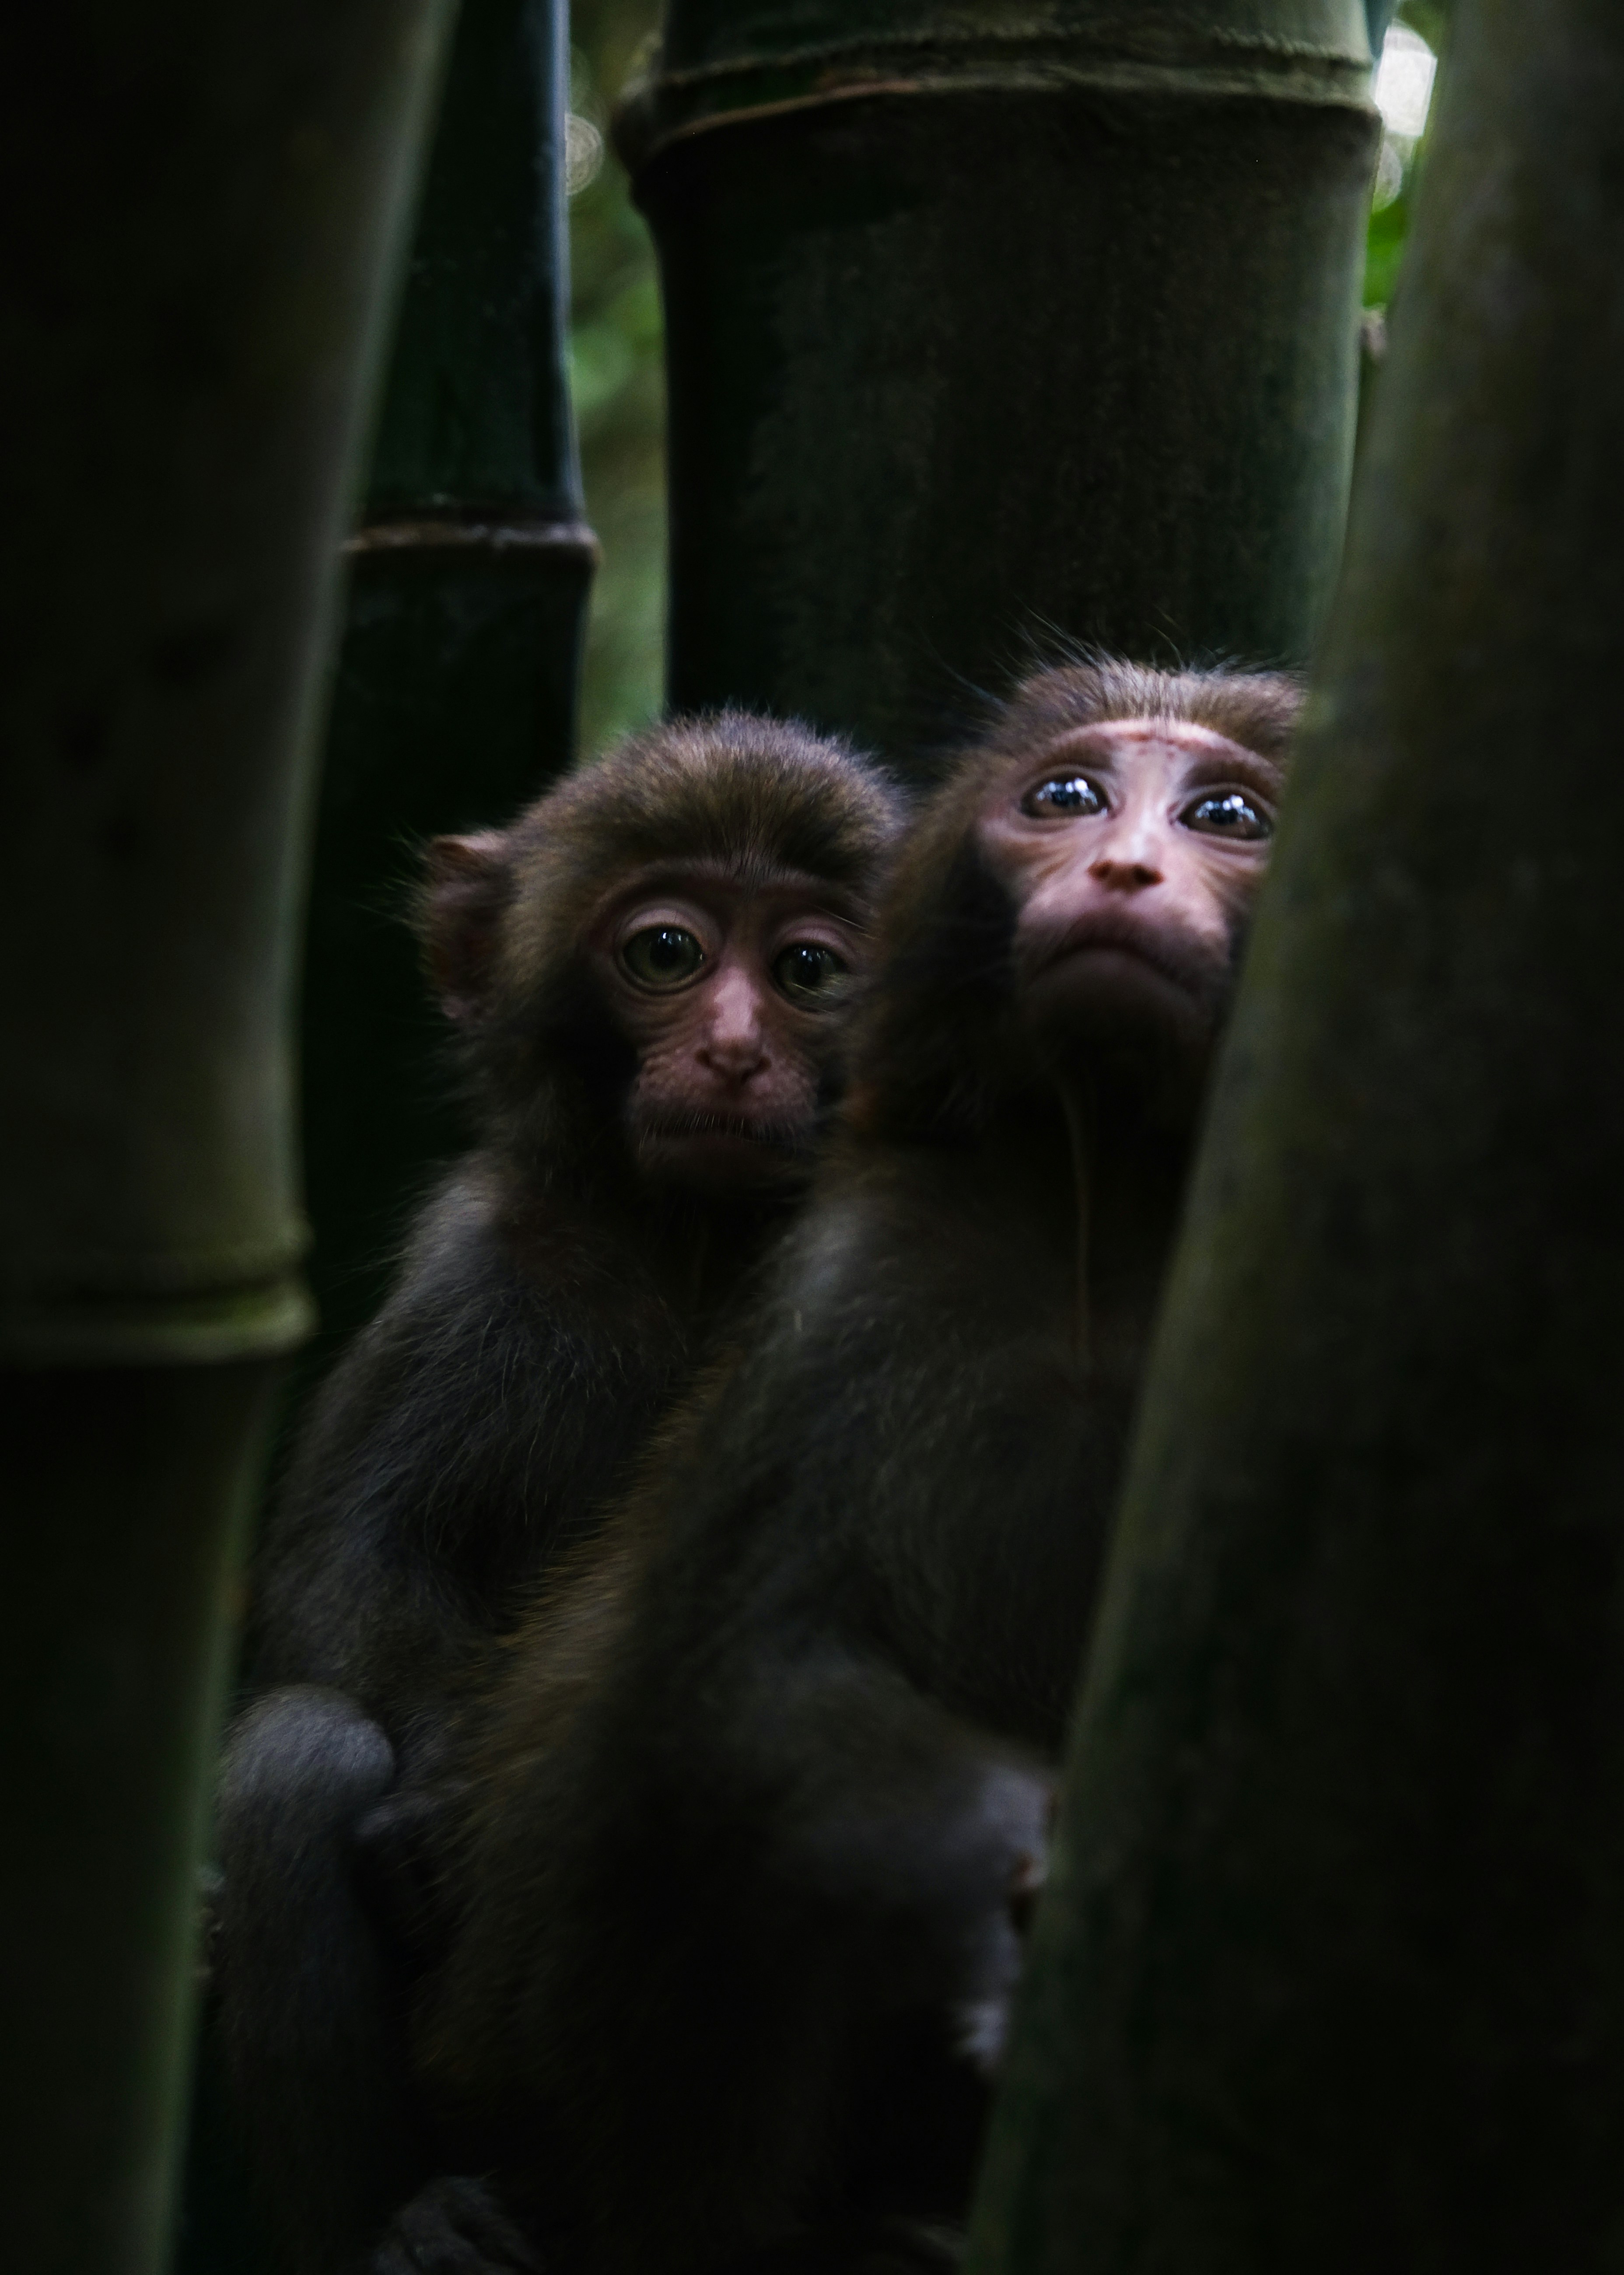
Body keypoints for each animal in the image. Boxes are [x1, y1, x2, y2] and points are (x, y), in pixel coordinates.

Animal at [211, 713, 908, 2275]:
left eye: (809, 970)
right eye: (666, 950)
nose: (732, 1051)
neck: (690, 1248)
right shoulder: (488, 1277)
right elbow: (348, 1574)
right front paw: (432, 1798)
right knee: (295, 1757)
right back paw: (411, 2224)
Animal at [408, 658, 1303, 2275]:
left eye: (1227, 818)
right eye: (1068, 796)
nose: (1124, 869)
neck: (1105, 1233)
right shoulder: (856, 1283)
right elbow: (745, 1682)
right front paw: (1024, 1879)